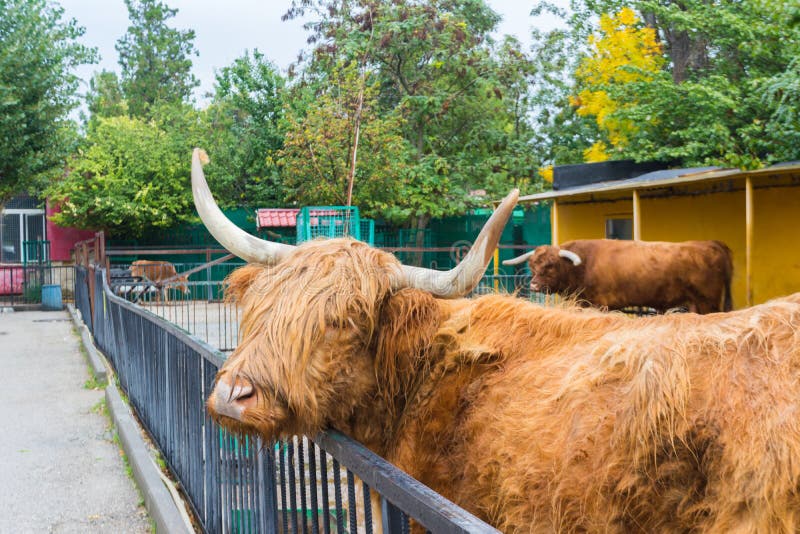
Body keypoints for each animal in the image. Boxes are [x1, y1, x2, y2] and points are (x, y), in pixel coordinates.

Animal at [503, 239, 734, 314]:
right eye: (532, 265)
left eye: (550, 266)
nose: (533, 286)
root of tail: (709, 243)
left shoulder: (599, 304)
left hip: (707, 302)